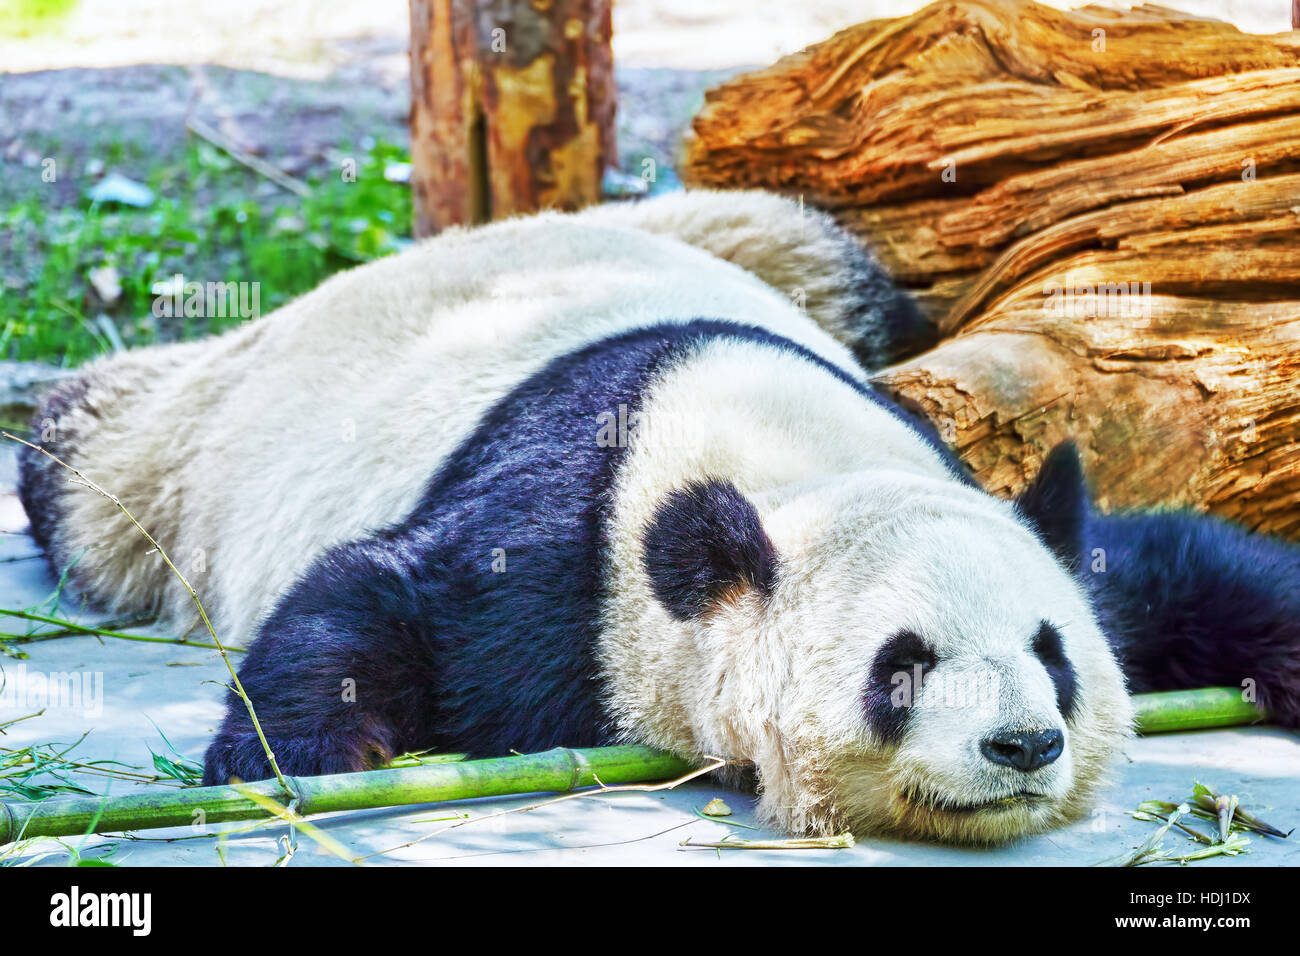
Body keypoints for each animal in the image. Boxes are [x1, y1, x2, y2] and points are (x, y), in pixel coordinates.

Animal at [17, 190, 1300, 843]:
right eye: (901, 664)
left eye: (1052, 654)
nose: (1022, 743)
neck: (777, 455)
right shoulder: (563, 552)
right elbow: (378, 593)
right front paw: (304, 758)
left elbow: (1169, 562)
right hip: (185, 448)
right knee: (89, 459)